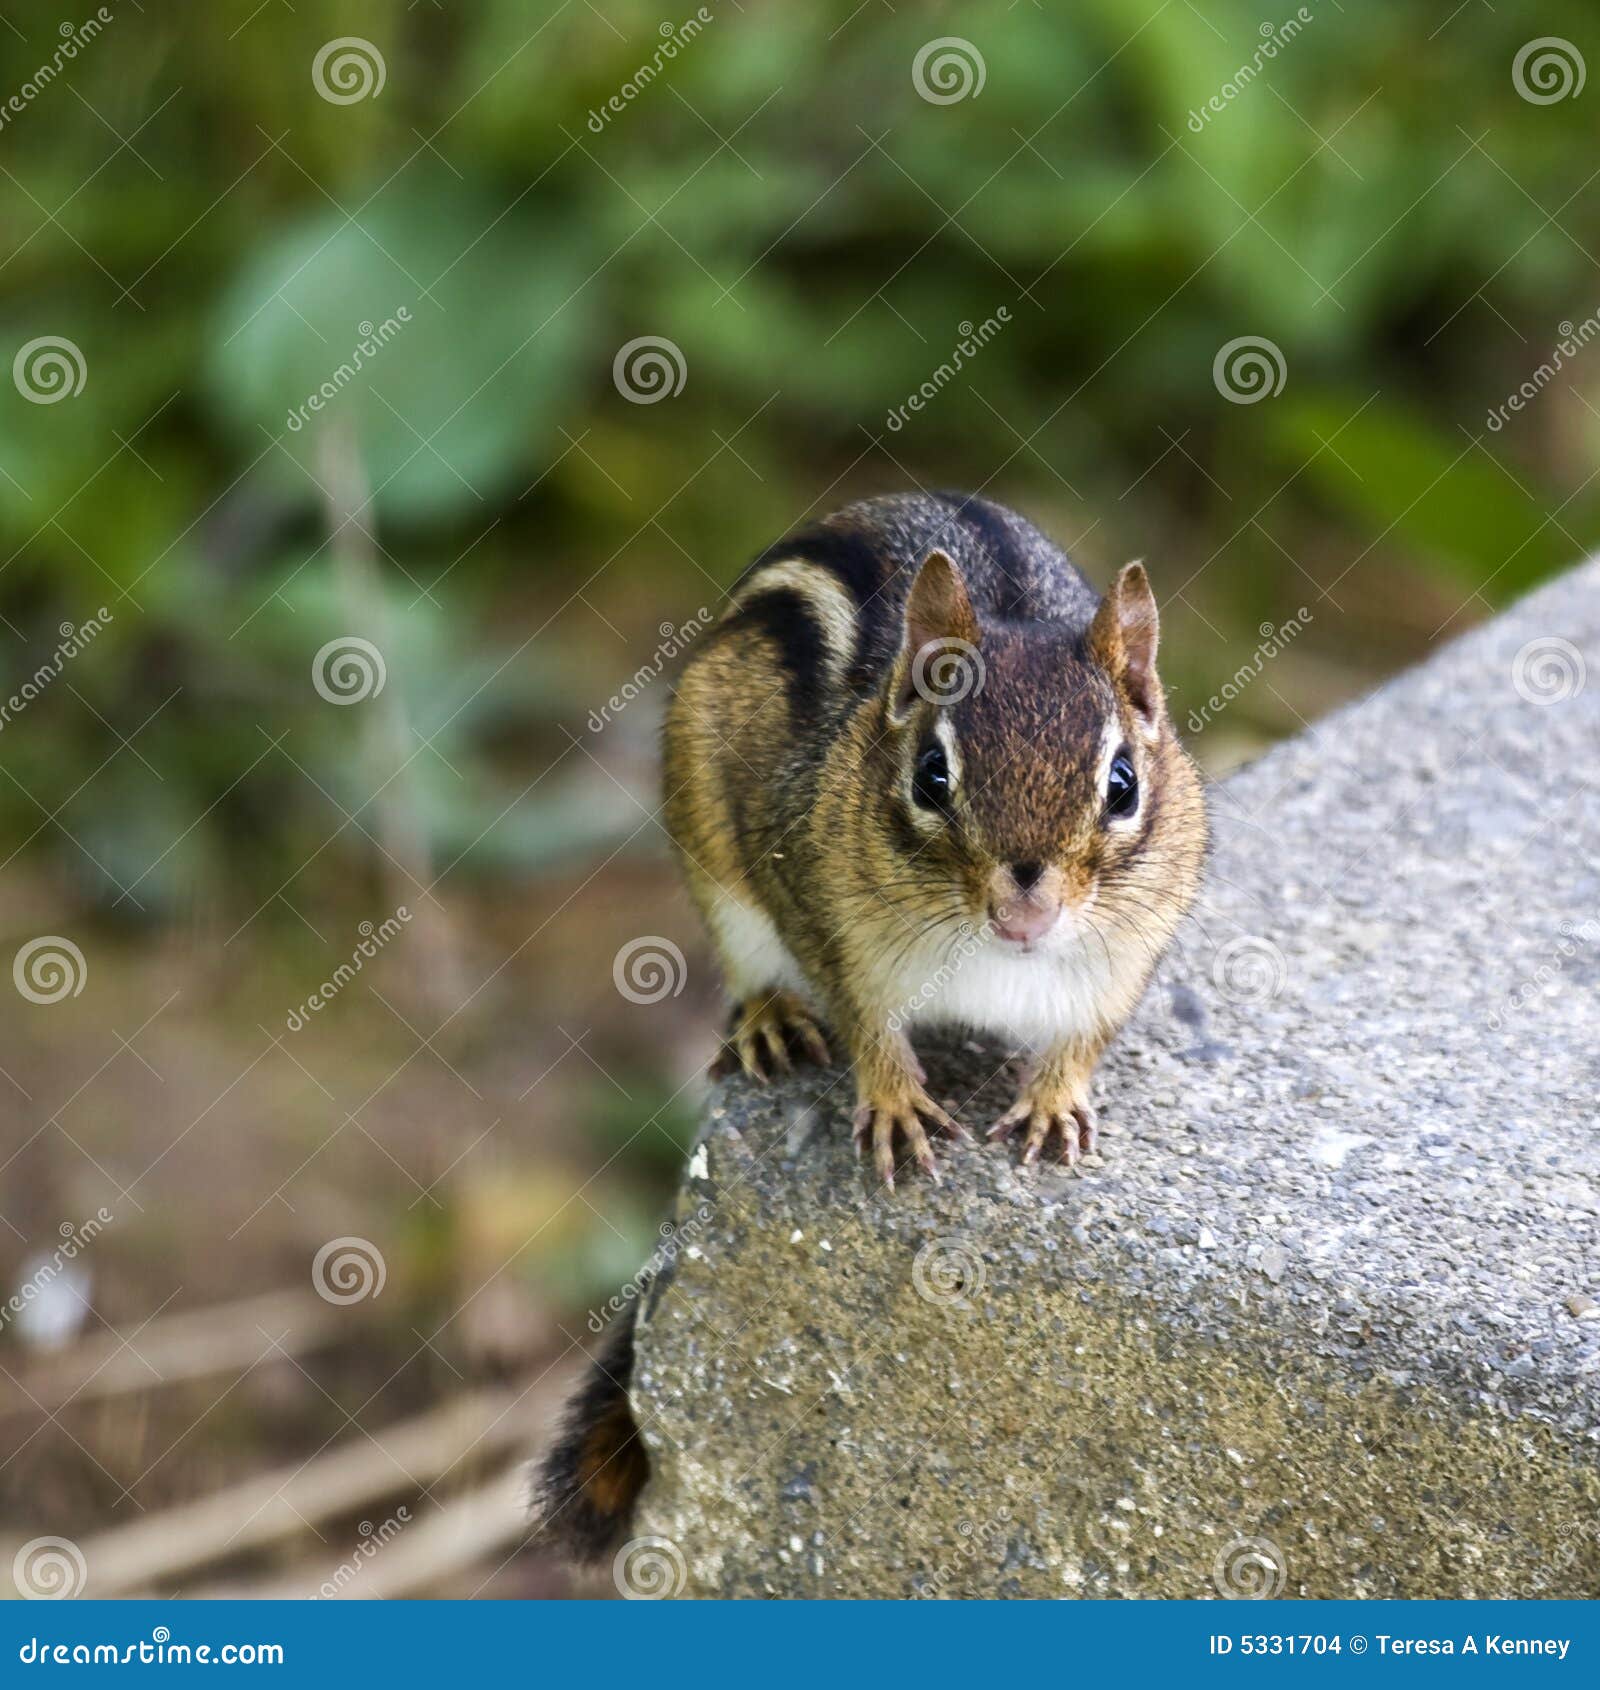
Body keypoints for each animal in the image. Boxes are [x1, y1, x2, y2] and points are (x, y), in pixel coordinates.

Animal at [531, 490, 1205, 1567]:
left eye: (1123, 785)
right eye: (932, 775)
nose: (1025, 910)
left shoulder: (1123, 959)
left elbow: (1082, 1040)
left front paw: (1055, 1103)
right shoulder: (827, 924)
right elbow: (865, 1020)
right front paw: (893, 1104)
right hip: (711, 850)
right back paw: (770, 1020)